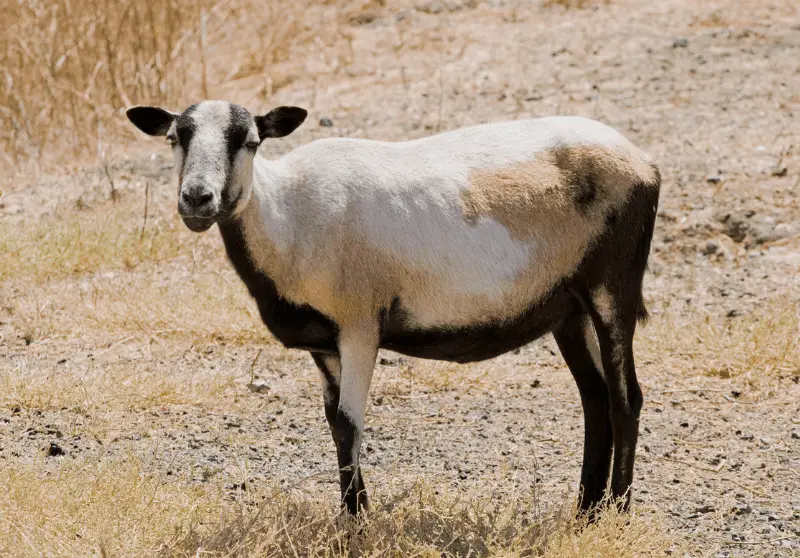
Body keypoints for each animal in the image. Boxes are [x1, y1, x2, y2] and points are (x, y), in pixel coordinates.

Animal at [126, 100, 660, 516]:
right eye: (175, 137)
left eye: (251, 140)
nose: (197, 199)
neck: (287, 217)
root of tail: (645, 164)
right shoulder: (326, 344)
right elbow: (335, 423)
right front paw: (356, 511)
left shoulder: (360, 325)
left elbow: (349, 423)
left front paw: (356, 522)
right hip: (568, 308)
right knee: (594, 398)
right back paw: (585, 511)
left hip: (612, 287)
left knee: (624, 398)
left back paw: (616, 512)